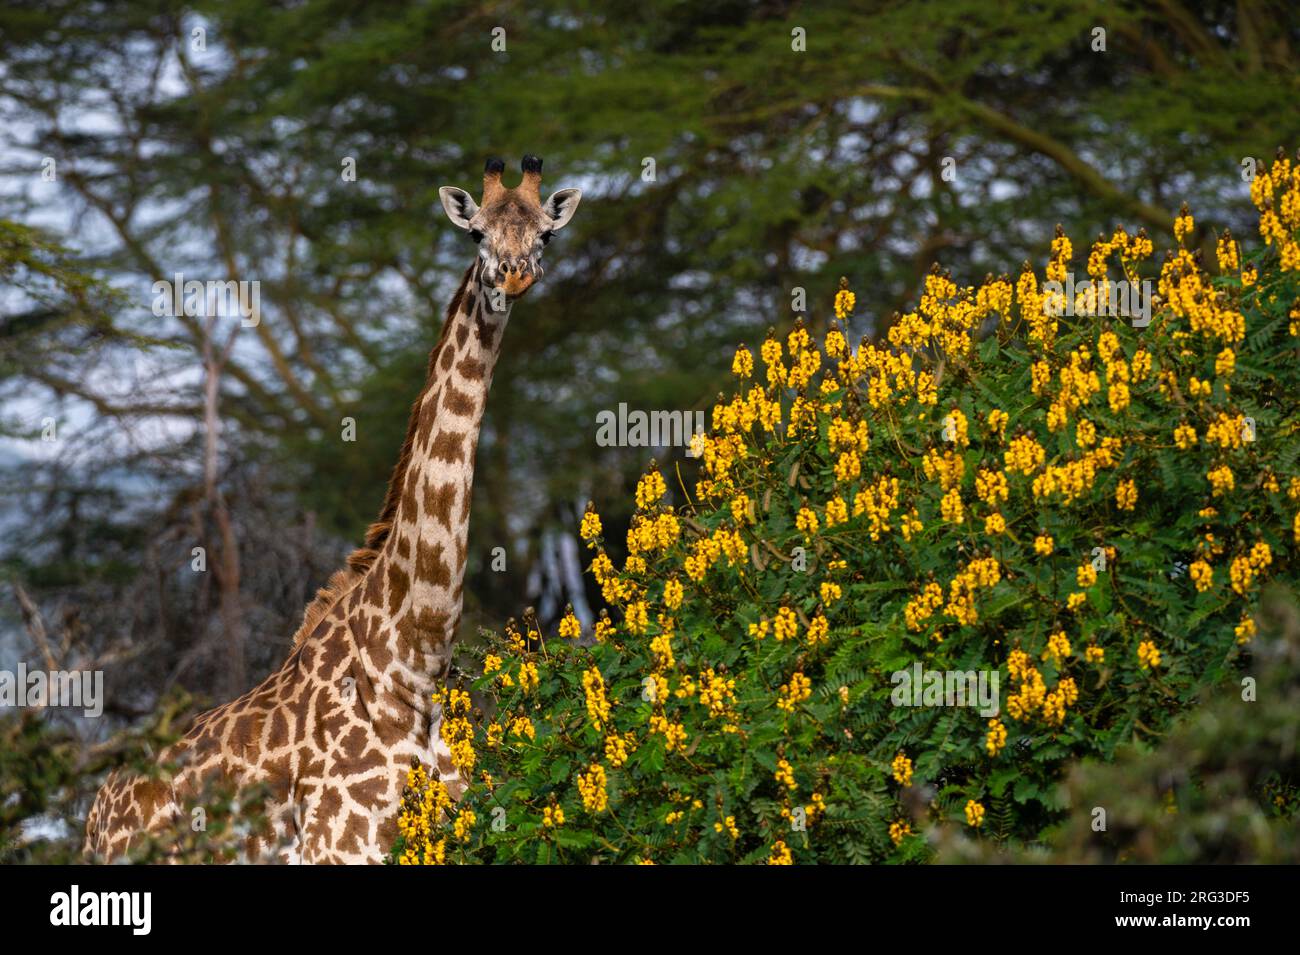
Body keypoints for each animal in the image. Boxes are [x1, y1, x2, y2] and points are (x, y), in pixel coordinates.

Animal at [83, 155, 582, 864]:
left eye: (545, 234)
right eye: (476, 233)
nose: (513, 274)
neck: (414, 658)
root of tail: (95, 810)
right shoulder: (343, 845)